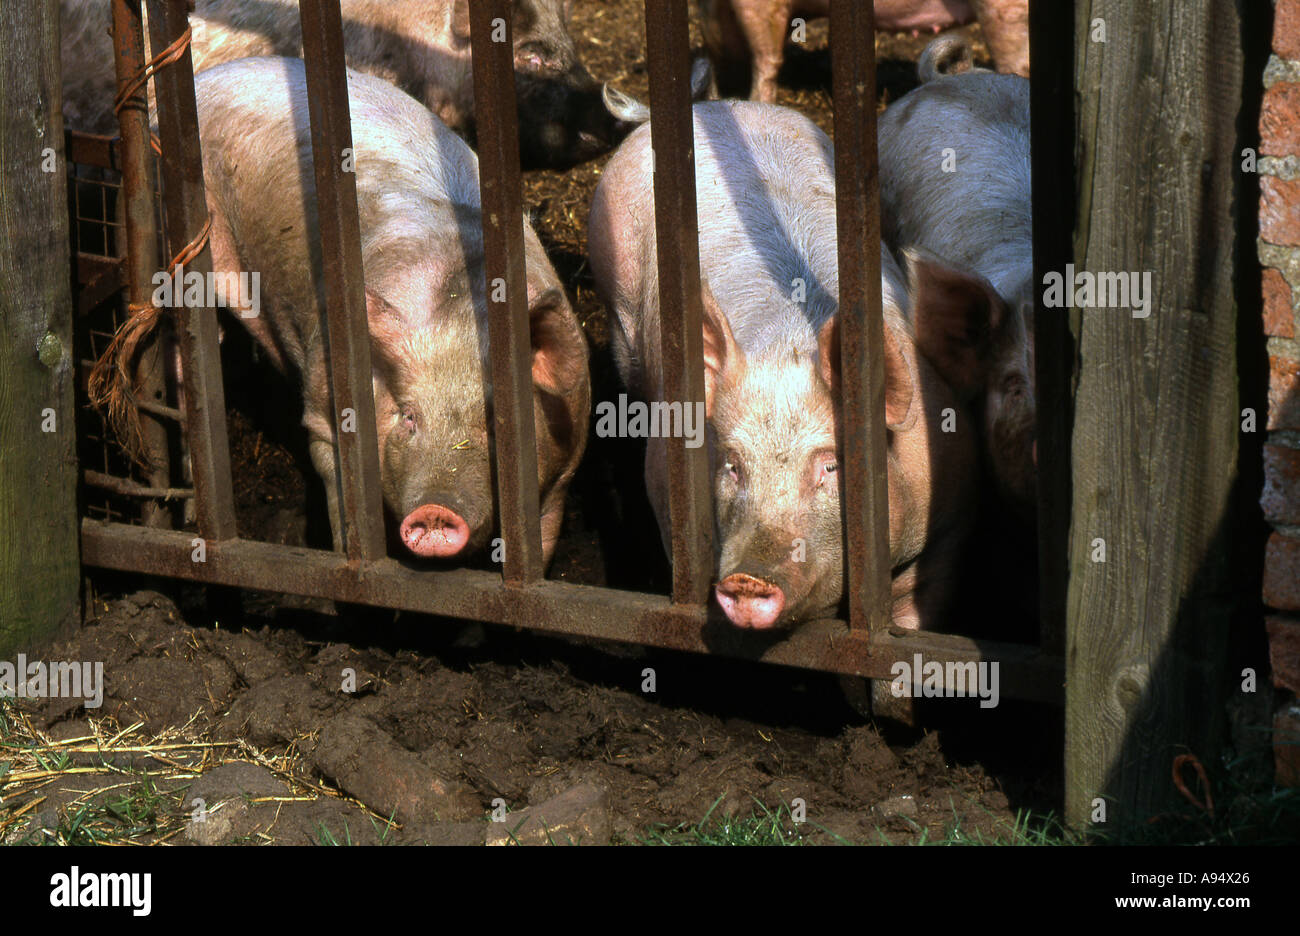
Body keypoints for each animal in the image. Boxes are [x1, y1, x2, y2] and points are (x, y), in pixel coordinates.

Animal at [132, 56, 589, 562]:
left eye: (494, 420)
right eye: (408, 416)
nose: (436, 511)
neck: (457, 304)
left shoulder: (566, 467)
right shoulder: (323, 415)